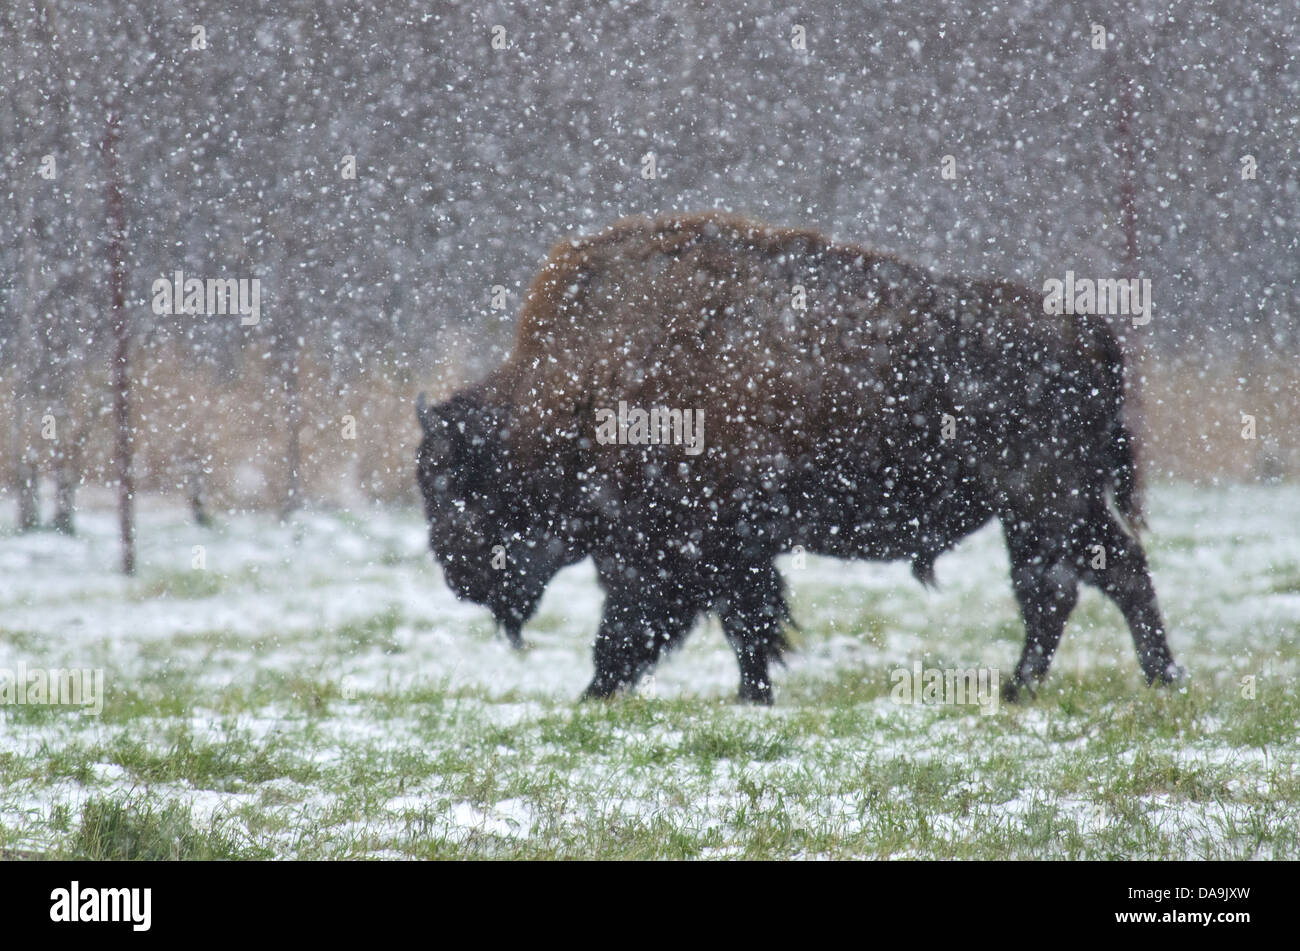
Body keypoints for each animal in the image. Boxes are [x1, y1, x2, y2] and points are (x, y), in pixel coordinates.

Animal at [417, 212, 1181, 703]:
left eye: (456, 487)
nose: (456, 576)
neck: (577, 387)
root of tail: (1076, 325)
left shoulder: (675, 550)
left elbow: (652, 625)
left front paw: (599, 691)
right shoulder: (726, 552)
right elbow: (741, 622)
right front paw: (751, 694)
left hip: (1045, 500)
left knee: (1078, 583)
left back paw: (1077, 685)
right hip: (1039, 512)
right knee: (1085, 582)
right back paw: (1093, 684)